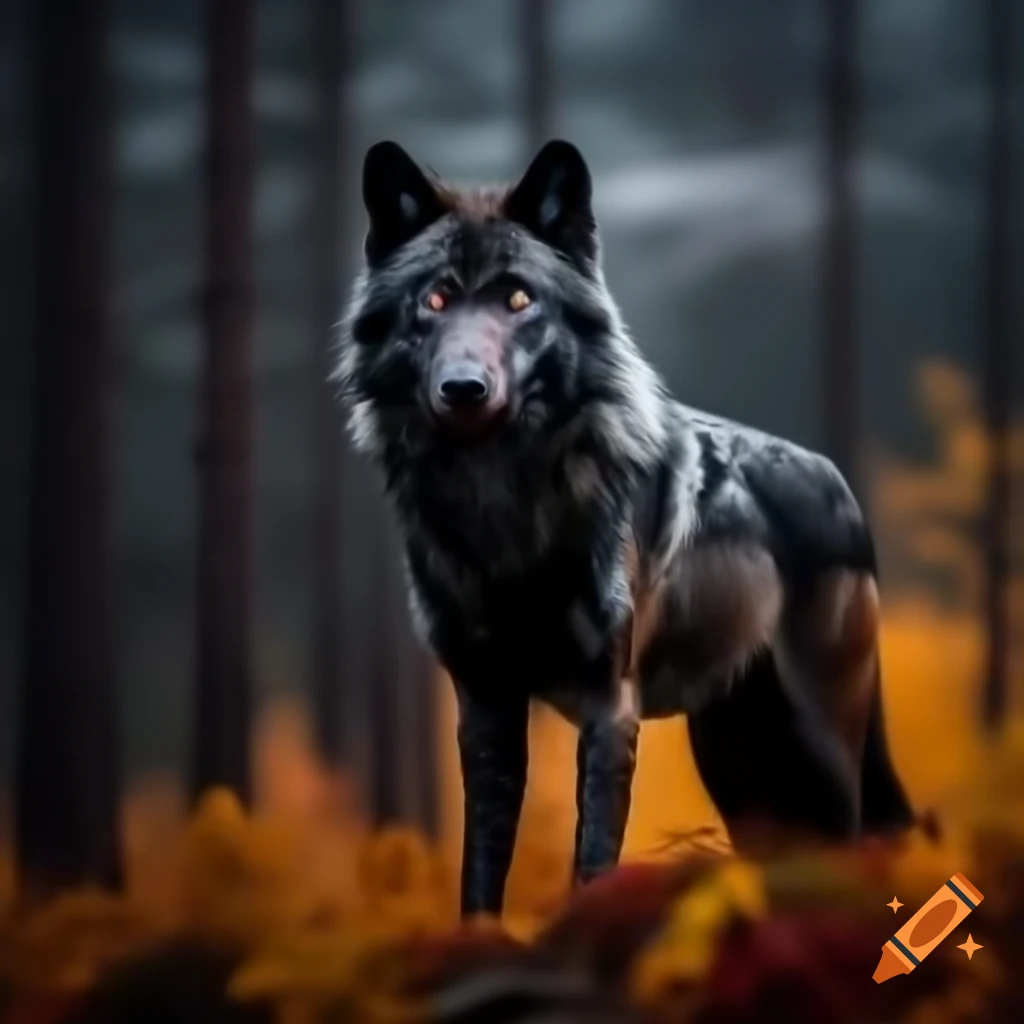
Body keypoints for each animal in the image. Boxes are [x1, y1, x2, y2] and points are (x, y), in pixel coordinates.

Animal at [335, 138, 914, 917]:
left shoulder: (611, 706)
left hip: (819, 742)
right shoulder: (484, 703)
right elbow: (480, 870)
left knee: (856, 839)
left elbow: (592, 858)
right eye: (434, 300)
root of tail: (839, 483)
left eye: (519, 300)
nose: (464, 389)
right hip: (737, 760)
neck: (502, 509)